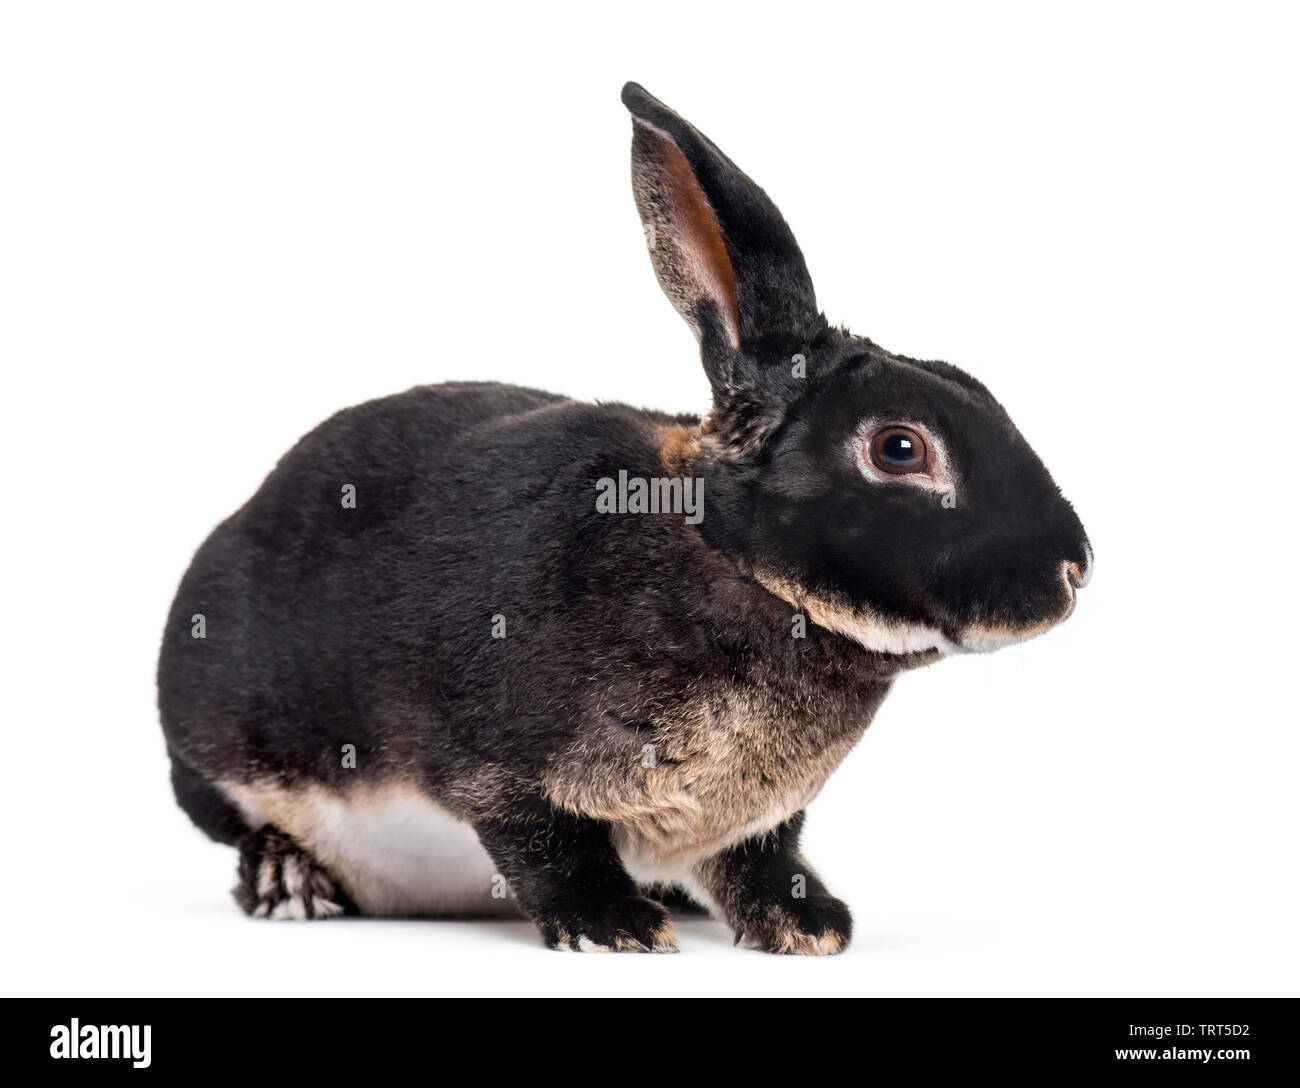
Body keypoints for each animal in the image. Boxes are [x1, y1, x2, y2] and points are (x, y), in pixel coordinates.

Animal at [158, 82, 1091, 954]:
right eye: (900, 448)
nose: (1073, 569)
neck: (729, 561)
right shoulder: (495, 770)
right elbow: (544, 844)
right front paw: (614, 928)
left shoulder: (759, 822)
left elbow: (761, 858)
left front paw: (811, 926)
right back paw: (290, 884)